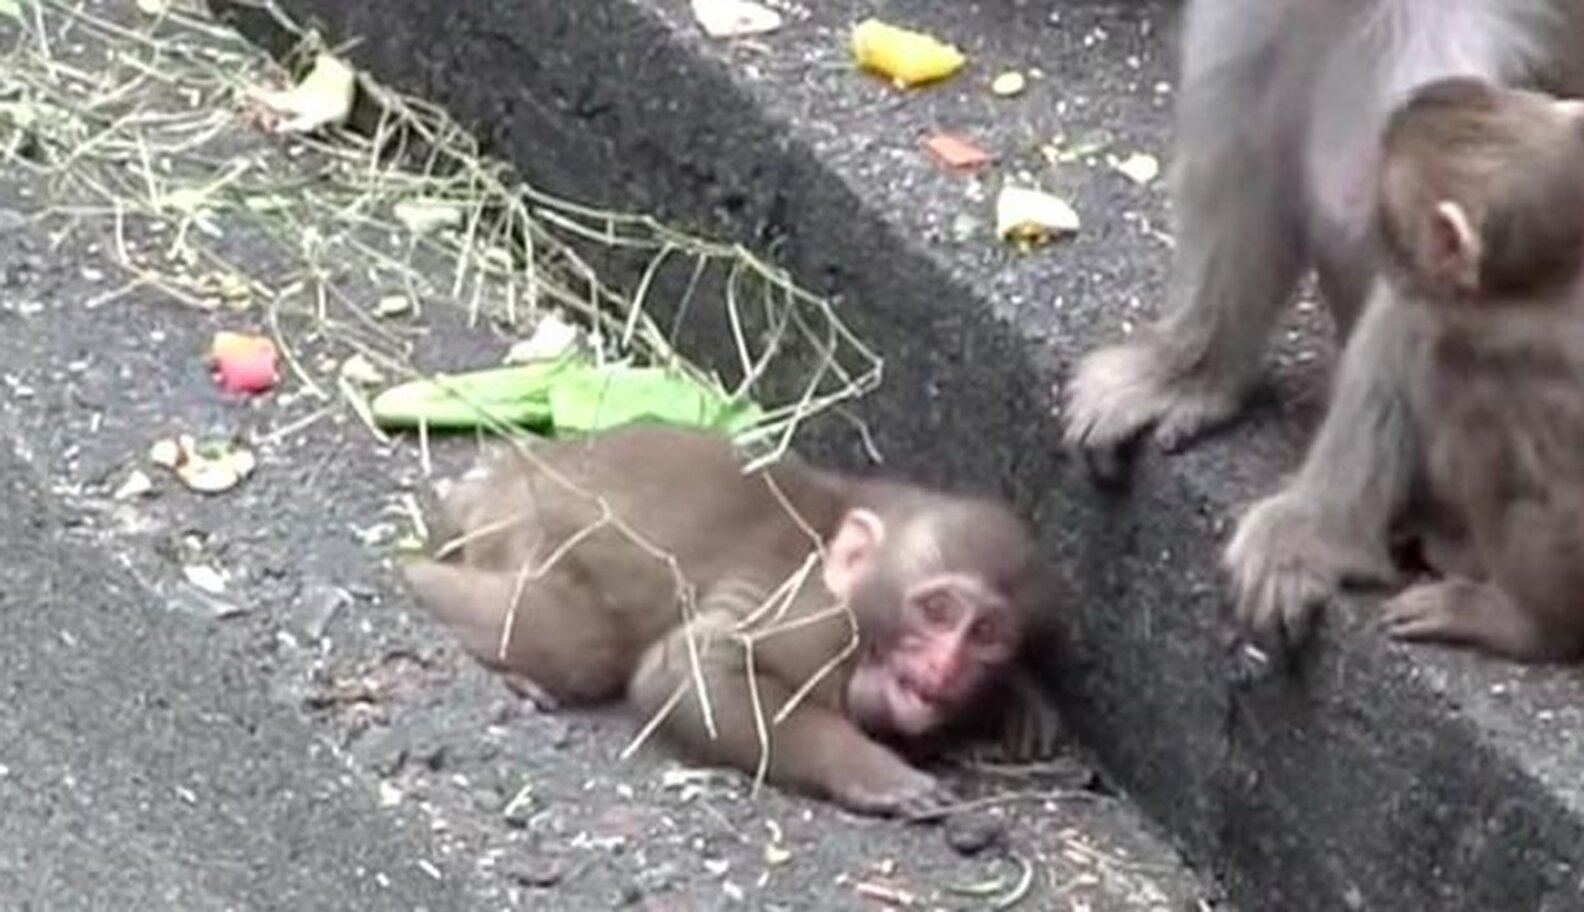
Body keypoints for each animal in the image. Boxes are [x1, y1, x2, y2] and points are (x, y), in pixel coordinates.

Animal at [399, 424, 1055, 817]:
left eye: (985, 635)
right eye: (937, 611)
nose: (945, 666)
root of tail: (501, 479)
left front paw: (1017, 700)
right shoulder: (808, 618)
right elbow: (688, 673)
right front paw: (874, 772)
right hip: (524, 530)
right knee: (586, 643)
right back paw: (419, 583)